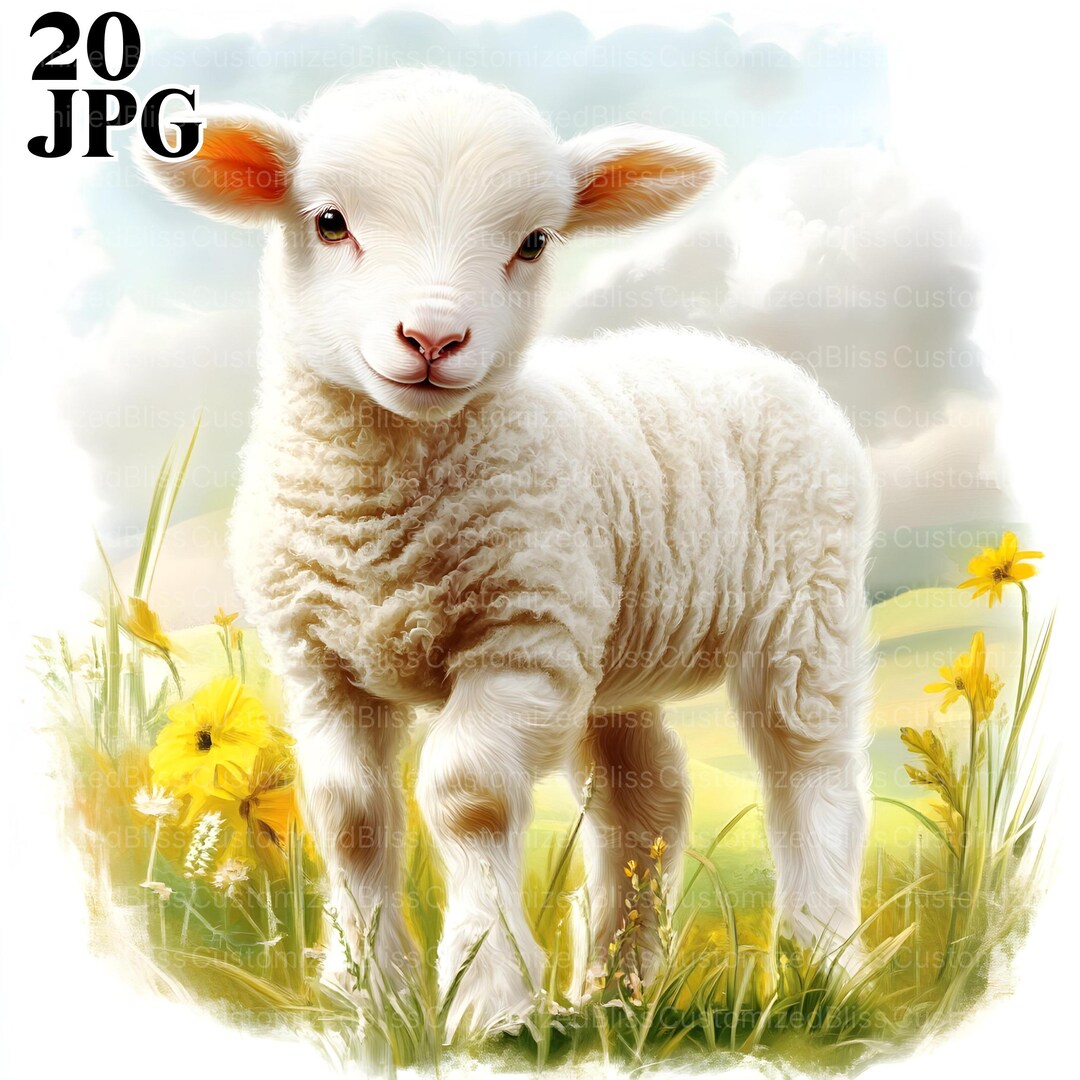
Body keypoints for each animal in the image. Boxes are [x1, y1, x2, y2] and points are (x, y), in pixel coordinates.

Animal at [140, 67, 877, 1038]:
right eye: (329, 221)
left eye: (532, 242)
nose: (432, 340)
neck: (381, 519)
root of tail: (747, 355)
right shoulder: (320, 663)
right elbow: (348, 815)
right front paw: (367, 994)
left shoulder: (522, 643)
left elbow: (469, 797)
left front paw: (488, 999)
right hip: (612, 645)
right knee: (646, 797)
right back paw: (616, 989)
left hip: (803, 608)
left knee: (811, 773)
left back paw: (822, 967)